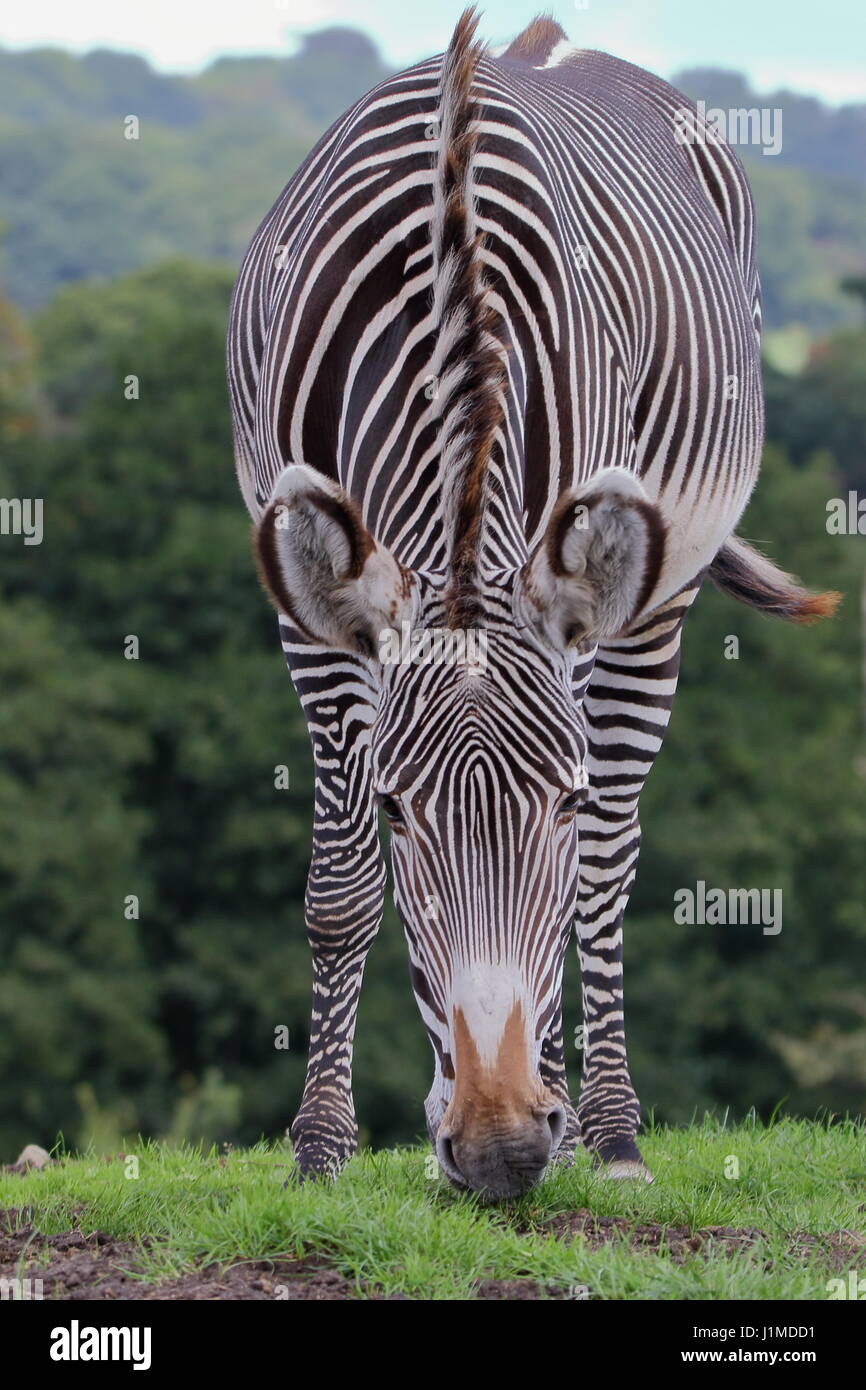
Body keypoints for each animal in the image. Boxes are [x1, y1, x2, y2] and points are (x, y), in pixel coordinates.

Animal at [227, 9, 836, 1198]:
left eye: (554, 799)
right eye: (393, 810)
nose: (504, 1144)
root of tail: (539, 42)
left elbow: (570, 886)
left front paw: (552, 1116)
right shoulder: (310, 619)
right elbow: (340, 892)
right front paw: (321, 1148)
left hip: (653, 599)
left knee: (606, 870)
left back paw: (606, 1127)